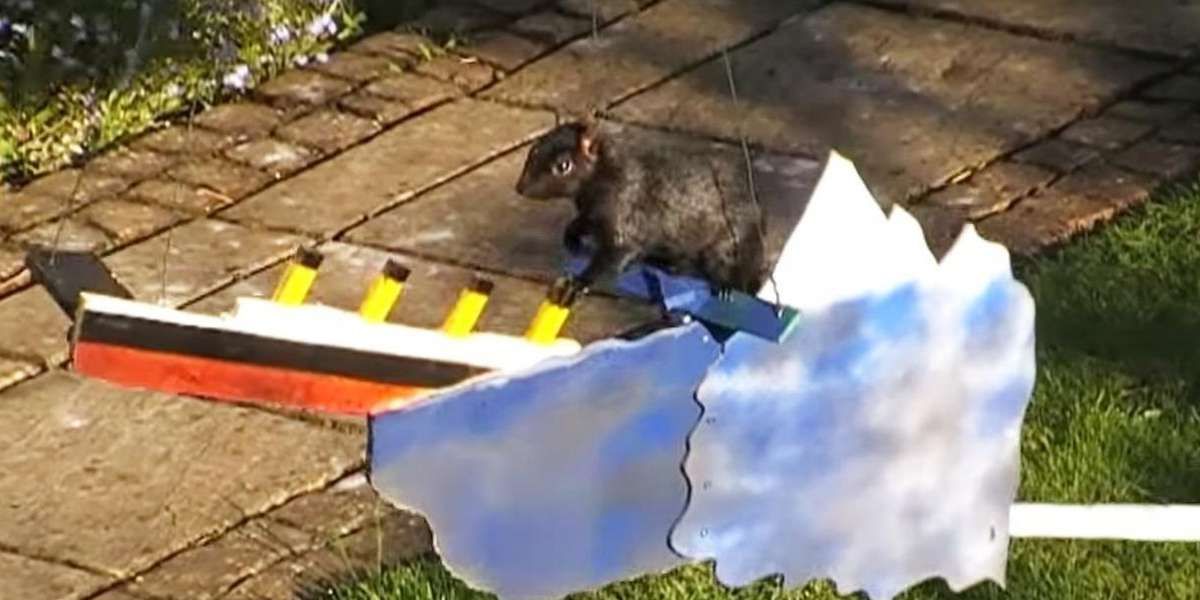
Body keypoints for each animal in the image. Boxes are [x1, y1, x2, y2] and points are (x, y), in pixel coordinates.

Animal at [515, 116, 769, 303]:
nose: (520, 187)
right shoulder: (592, 213)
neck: (602, 176)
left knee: (732, 272)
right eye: (534, 149)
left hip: (729, 244)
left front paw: (578, 284)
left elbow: (615, 256)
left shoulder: (626, 211)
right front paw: (572, 236)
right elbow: (582, 222)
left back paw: (726, 287)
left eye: (563, 166)